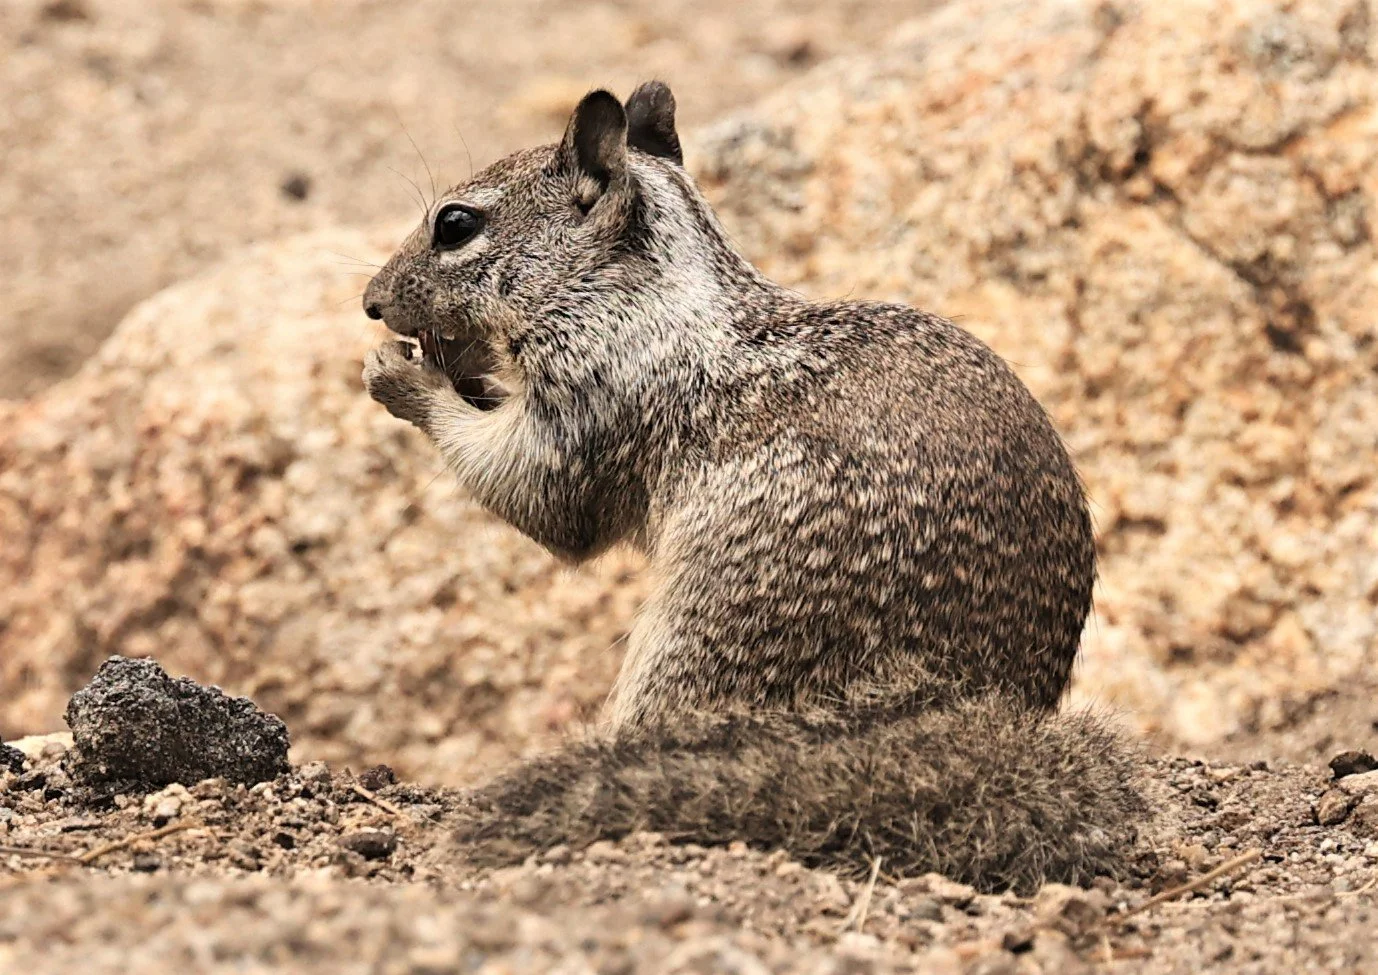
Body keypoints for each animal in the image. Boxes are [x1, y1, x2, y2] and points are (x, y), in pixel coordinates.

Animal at [361, 82, 1143, 893]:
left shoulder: (590, 400)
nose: (371, 301)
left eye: (456, 224)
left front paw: (401, 374)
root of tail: (974, 708)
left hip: (715, 630)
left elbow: (539, 495)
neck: (630, 291)